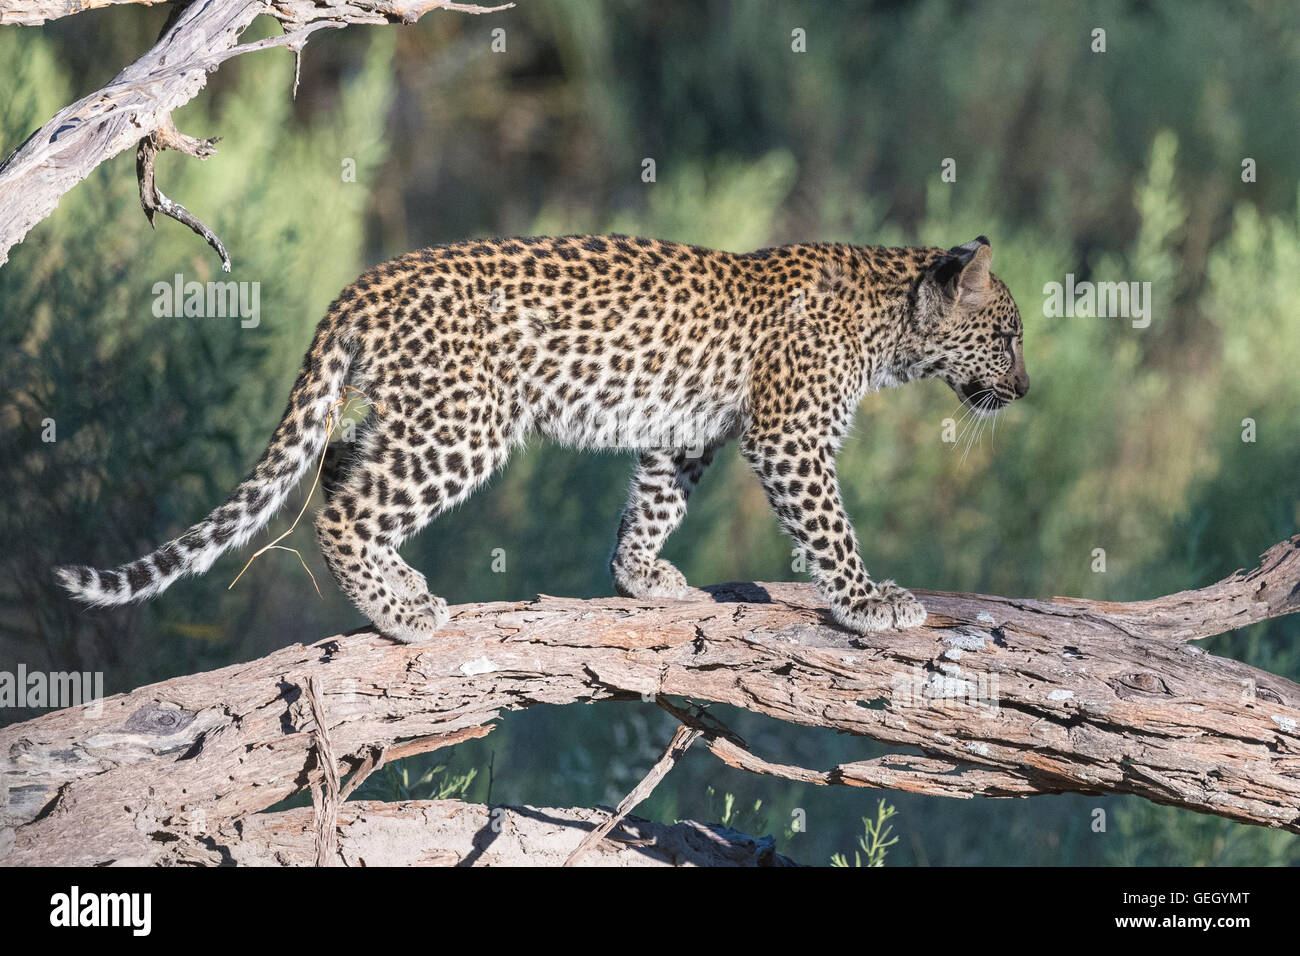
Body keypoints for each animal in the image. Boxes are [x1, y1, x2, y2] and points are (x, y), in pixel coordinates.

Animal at [56, 233, 1028, 642]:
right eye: (1011, 335)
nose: (1024, 390)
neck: (893, 318)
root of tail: (362, 284)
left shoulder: (687, 430)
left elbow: (655, 501)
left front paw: (639, 577)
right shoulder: (791, 434)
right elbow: (829, 528)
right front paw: (869, 600)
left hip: (413, 411)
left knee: (336, 466)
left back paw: (400, 586)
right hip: (465, 423)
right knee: (345, 507)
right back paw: (399, 612)